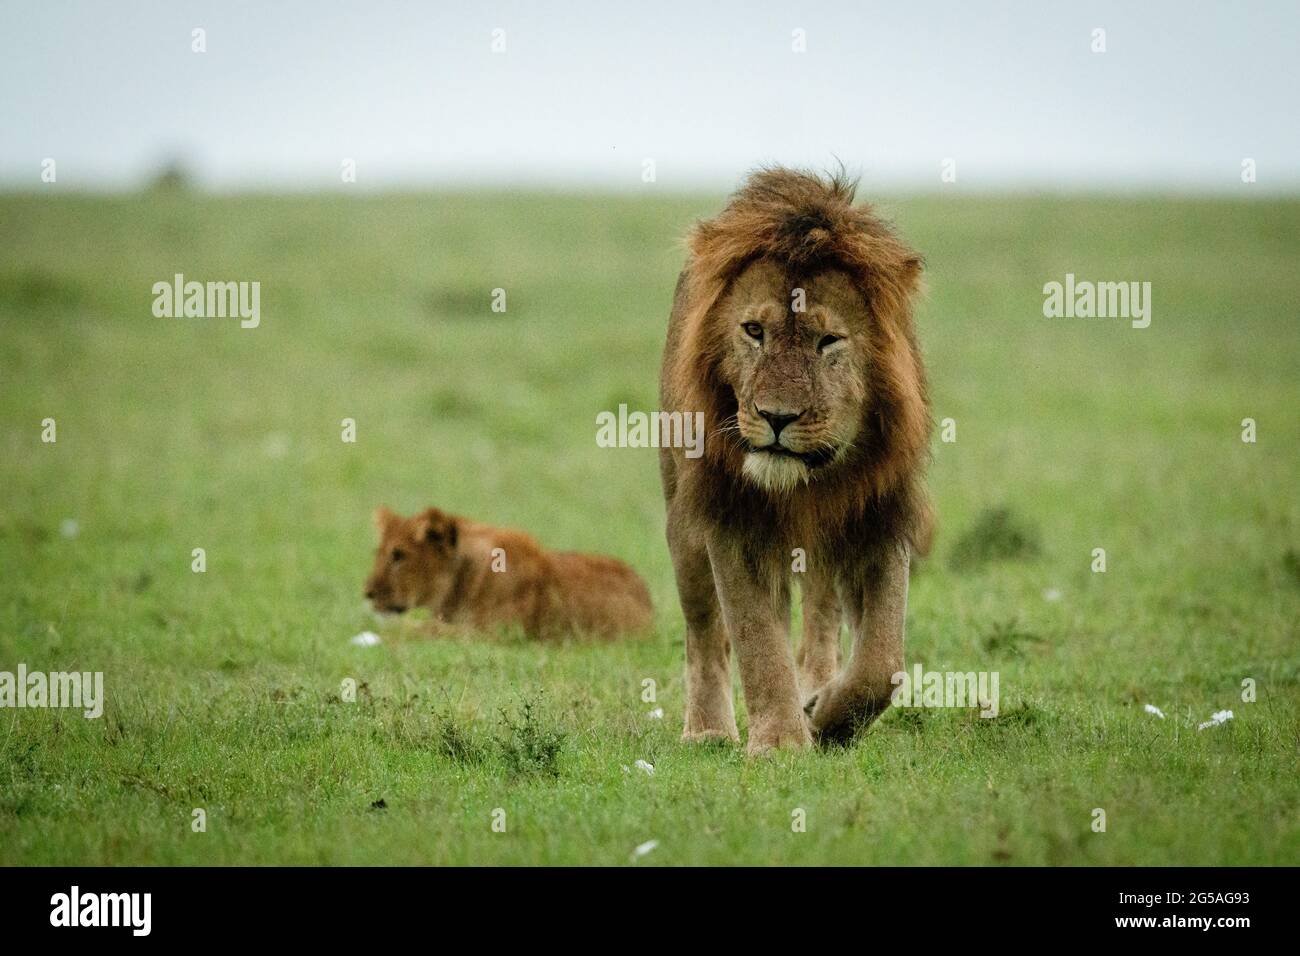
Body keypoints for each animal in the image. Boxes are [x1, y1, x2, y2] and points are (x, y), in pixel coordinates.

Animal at [658, 167, 932, 753]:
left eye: (828, 340)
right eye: (753, 331)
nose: (776, 416)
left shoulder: (878, 516)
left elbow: (882, 661)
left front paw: (825, 720)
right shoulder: (731, 517)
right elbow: (757, 639)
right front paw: (781, 742)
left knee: (822, 614)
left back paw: (814, 689)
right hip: (682, 521)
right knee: (704, 632)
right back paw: (709, 730)